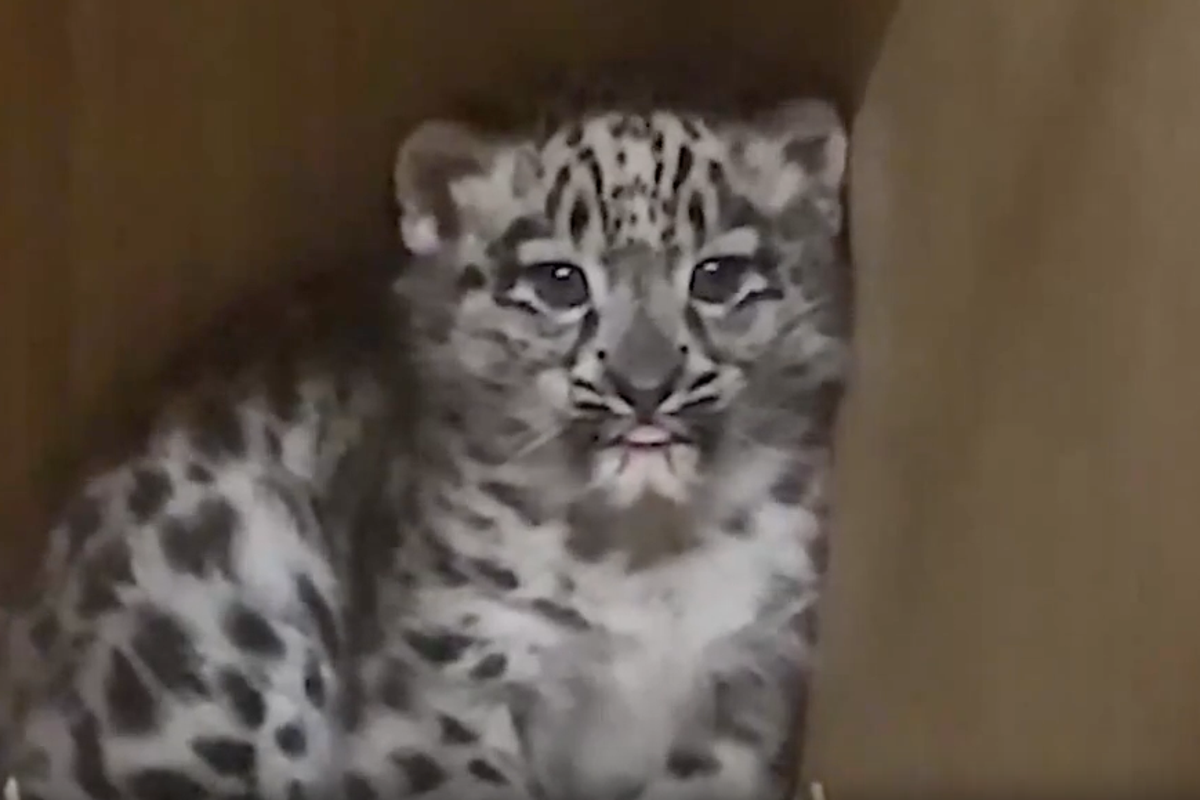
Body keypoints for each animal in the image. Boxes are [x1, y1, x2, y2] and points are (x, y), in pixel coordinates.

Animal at [0, 88, 851, 800]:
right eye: (559, 282)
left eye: (719, 275)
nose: (644, 387)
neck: (645, 550)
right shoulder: (443, 684)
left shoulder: (750, 683)